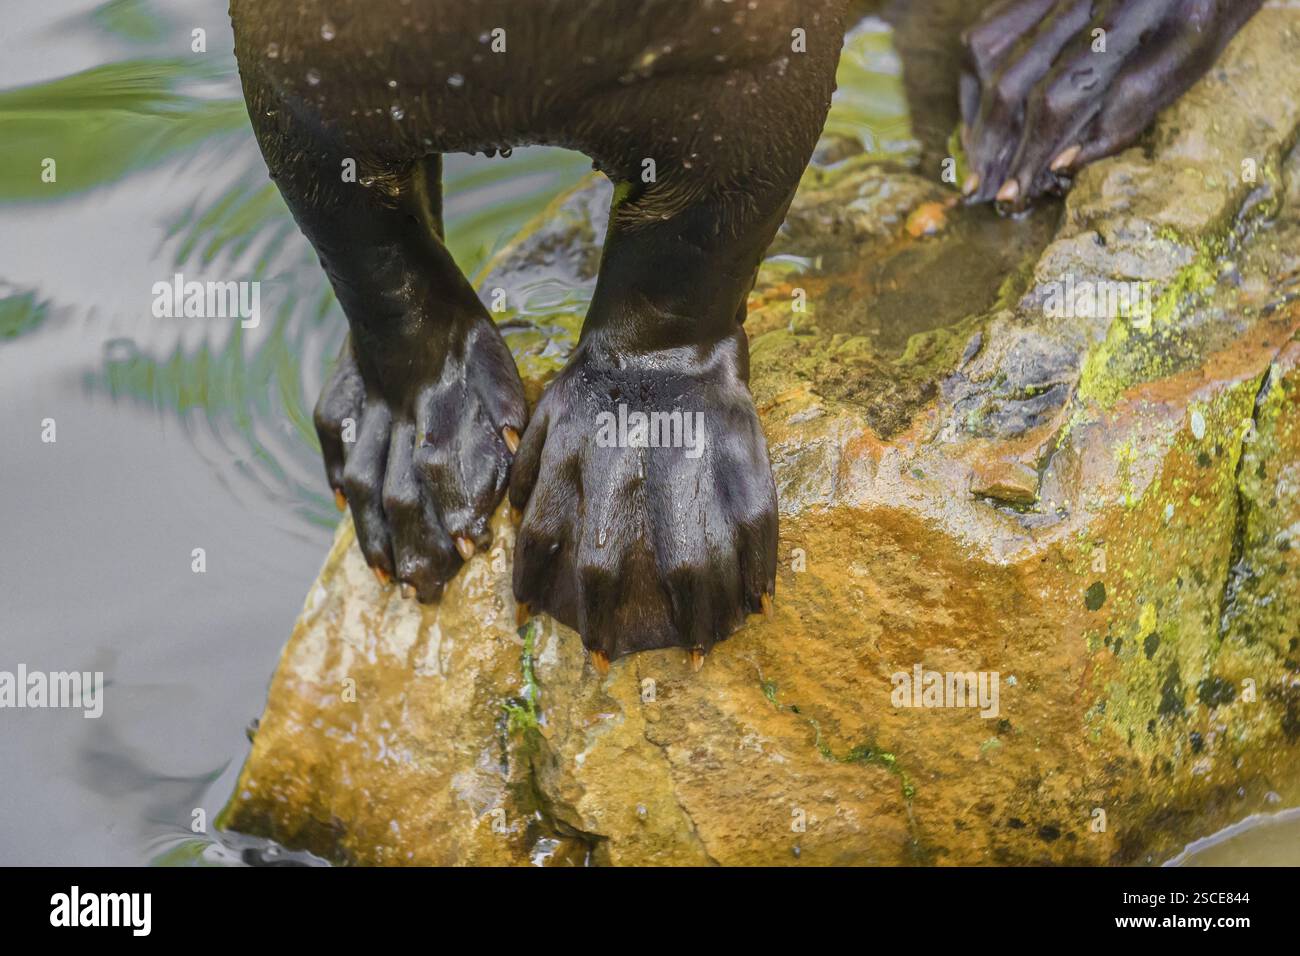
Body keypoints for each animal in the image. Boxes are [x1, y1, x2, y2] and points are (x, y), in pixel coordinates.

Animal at [228, 0, 1261, 670]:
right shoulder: (293, 59)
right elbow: (365, 247)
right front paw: (413, 448)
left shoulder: (747, 62)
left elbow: (686, 256)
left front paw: (637, 481)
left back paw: (1069, 63)